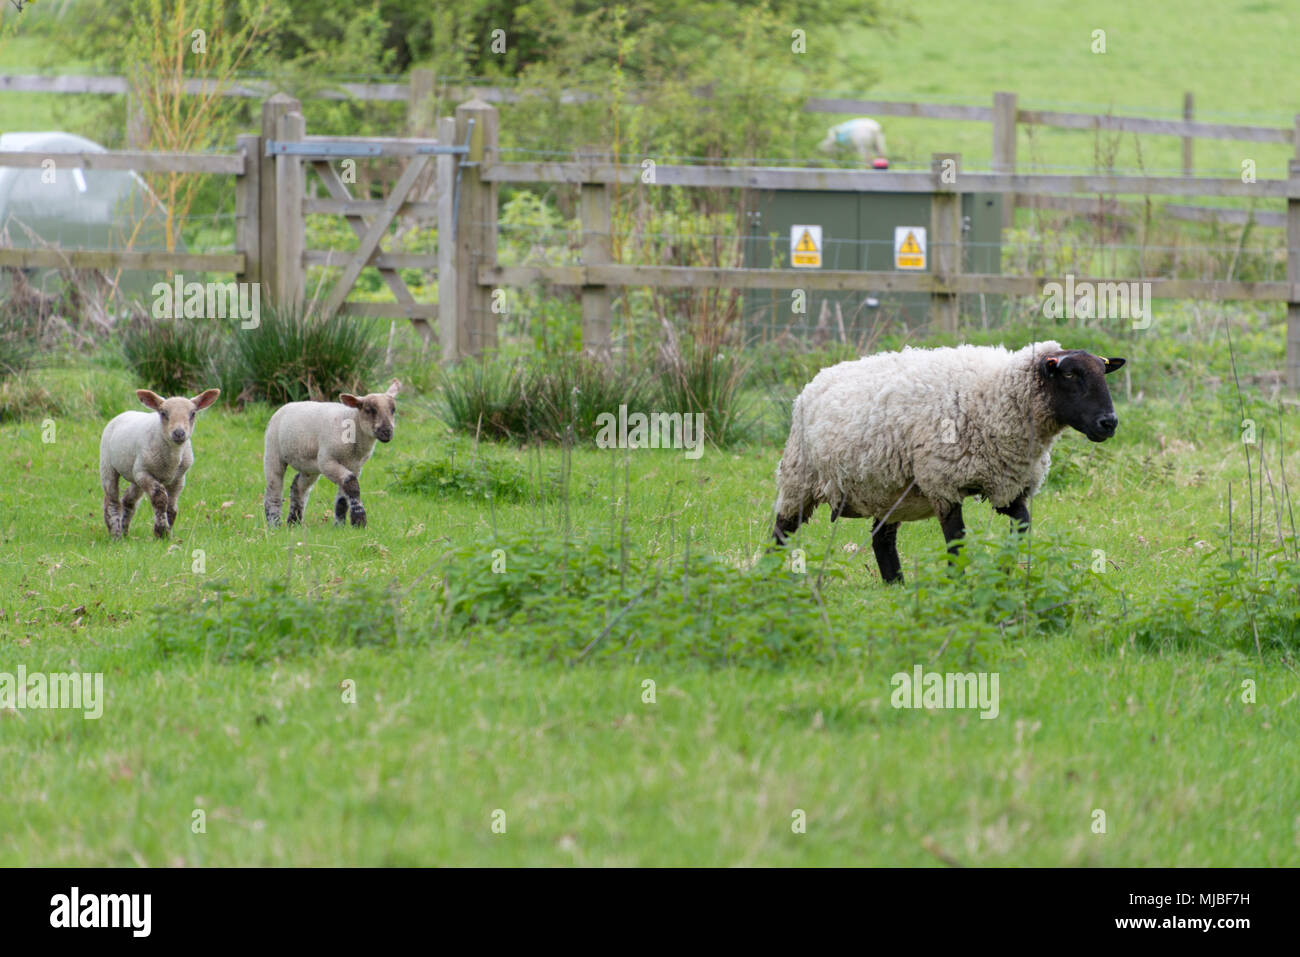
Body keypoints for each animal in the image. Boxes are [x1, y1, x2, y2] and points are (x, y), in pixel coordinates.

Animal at [100, 388, 221, 539]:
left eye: (193, 413)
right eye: (163, 413)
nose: (179, 433)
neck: (172, 460)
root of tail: (124, 413)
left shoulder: (178, 478)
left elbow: (172, 506)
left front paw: (167, 531)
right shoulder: (143, 472)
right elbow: (160, 498)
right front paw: (161, 531)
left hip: (134, 476)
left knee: (128, 500)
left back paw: (124, 530)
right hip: (107, 464)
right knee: (112, 500)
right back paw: (115, 533)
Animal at [263, 380, 401, 529]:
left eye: (393, 410)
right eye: (369, 410)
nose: (387, 432)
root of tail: (285, 406)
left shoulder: (355, 466)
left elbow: (344, 496)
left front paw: (340, 525)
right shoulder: (327, 461)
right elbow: (352, 484)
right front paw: (359, 519)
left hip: (310, 465)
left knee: (298, 486)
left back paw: (294, 522)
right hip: (273, 450)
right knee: (273, 488)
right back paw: (274, 524)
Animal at [771, 341, 1125, 584]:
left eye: (1103, 374)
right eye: (1070, 374)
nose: (1109, 423)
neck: (998, 396)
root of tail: (817, 380)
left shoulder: (1008, 485)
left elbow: (1022, 528)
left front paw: (1004, 572)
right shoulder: (944, 484)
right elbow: (957, 542)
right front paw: (958, 585)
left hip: (888, 490)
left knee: (881, 539)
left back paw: (896, 585)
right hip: (799, 477)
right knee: (781, 530)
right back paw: (766, 575)